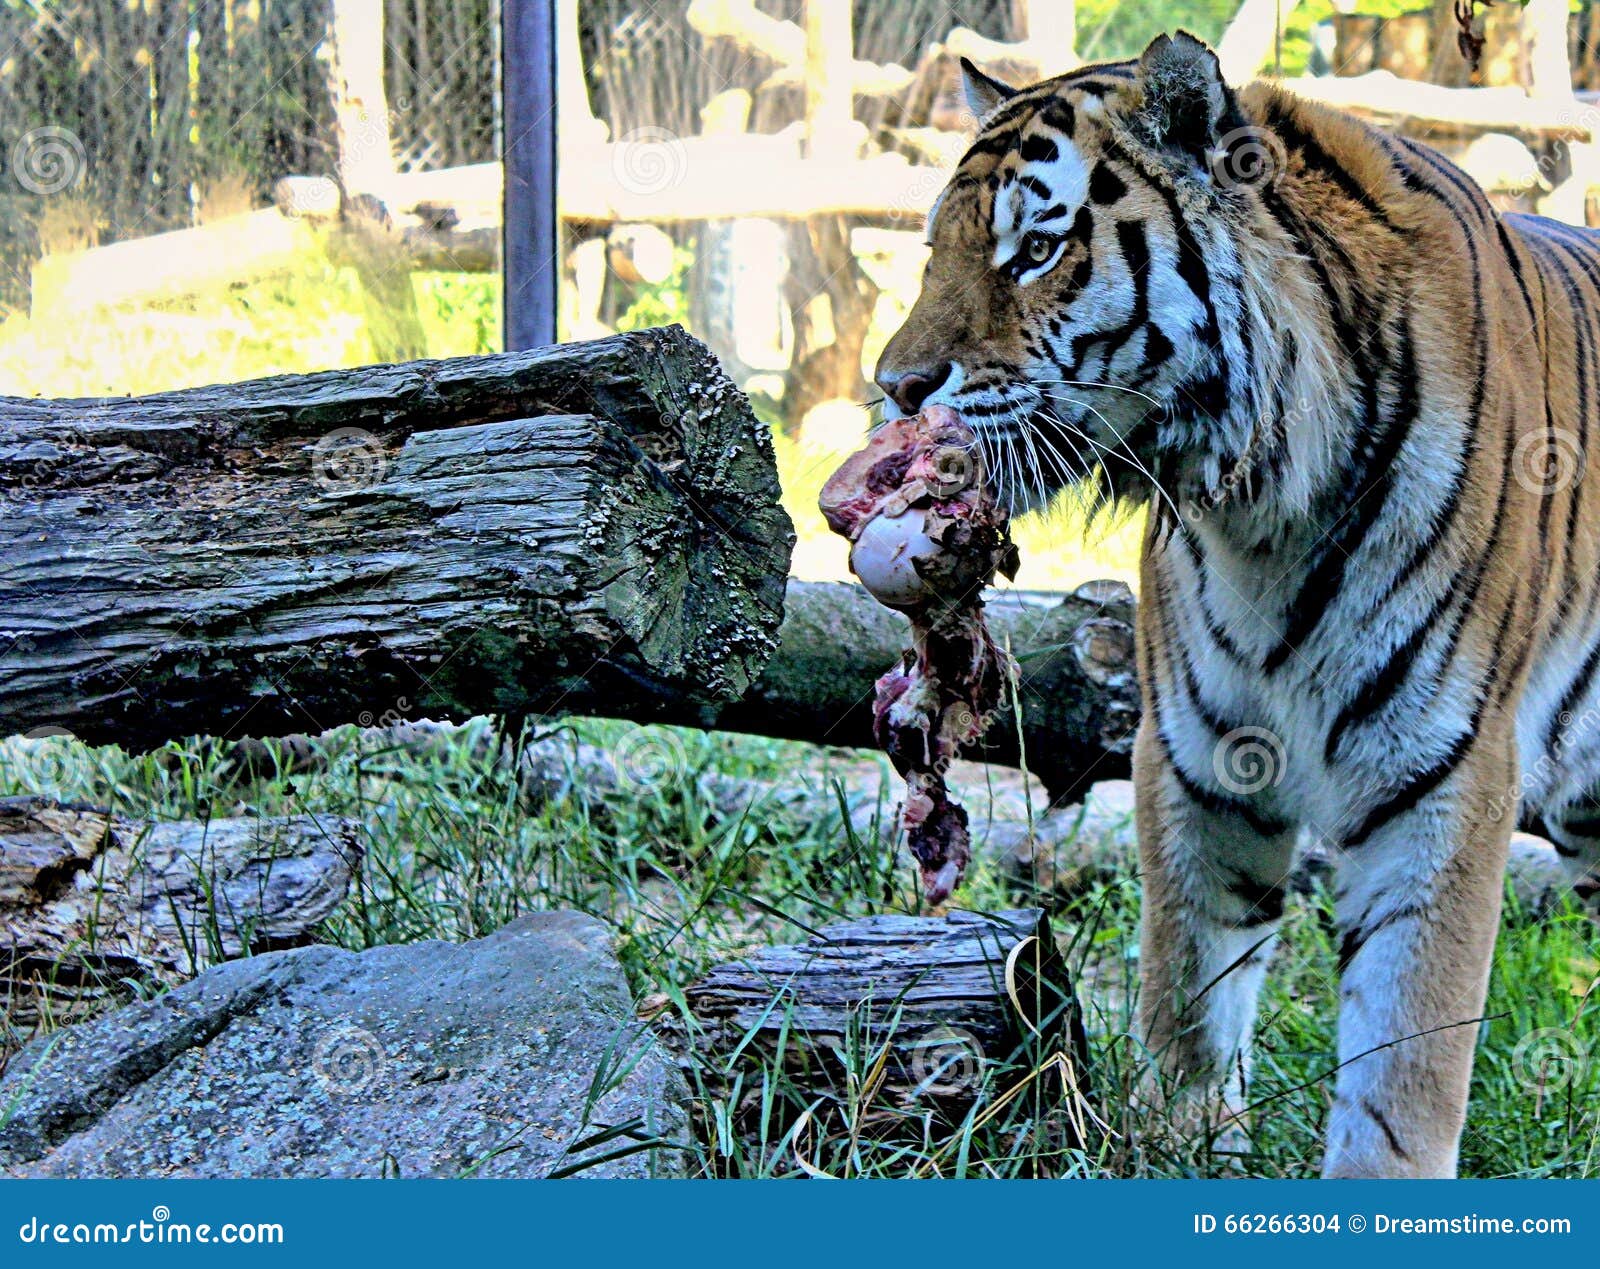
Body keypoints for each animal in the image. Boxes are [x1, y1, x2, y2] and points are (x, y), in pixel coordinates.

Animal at [873, 30, 1600, 1178]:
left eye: (1035, 249)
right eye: (933, 250)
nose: (895, 386)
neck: (1264, 509)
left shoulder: (1443, 770)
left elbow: (1407, 1040)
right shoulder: (1199, 750)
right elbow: (1189, 977)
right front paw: (1181, 1137)